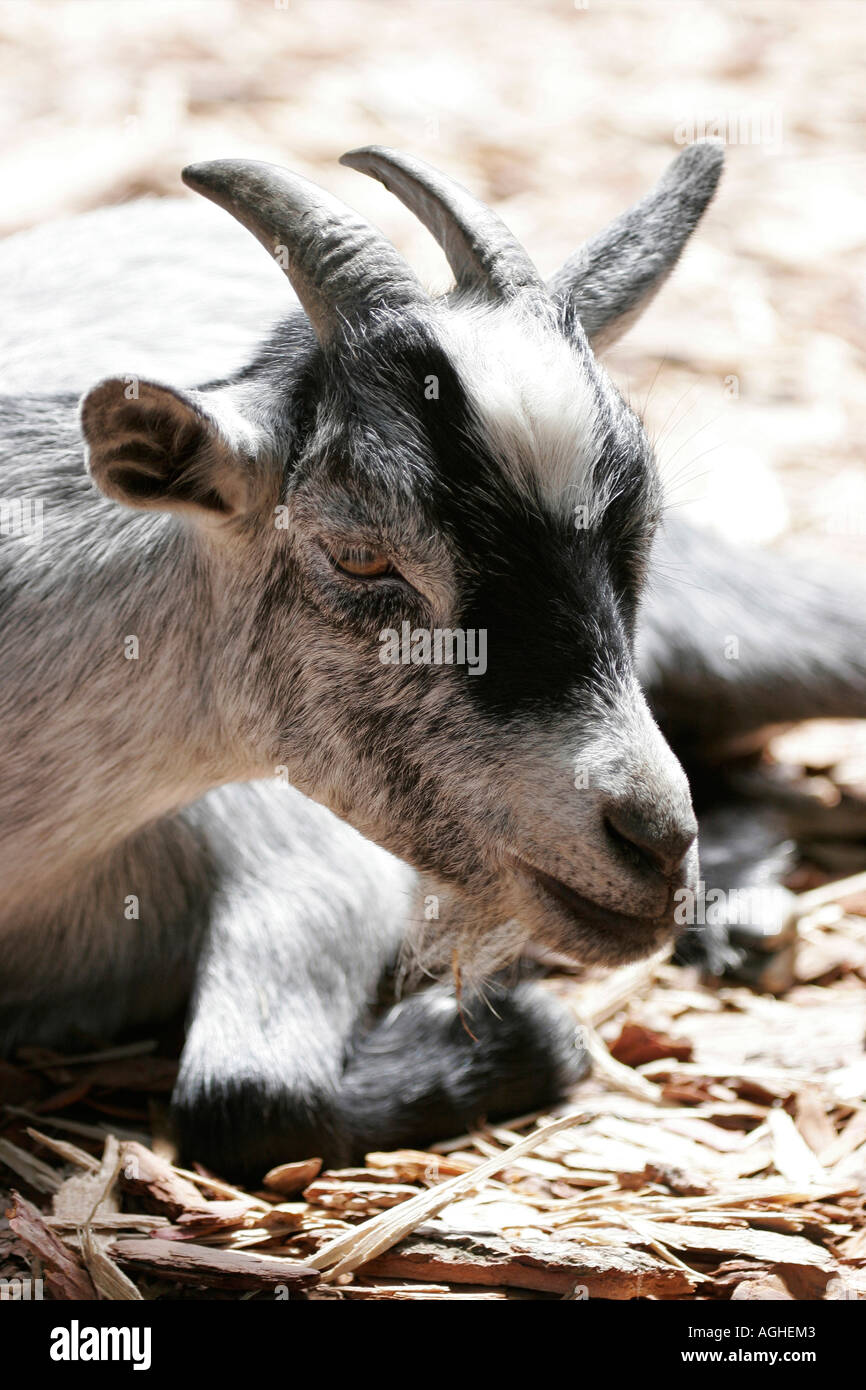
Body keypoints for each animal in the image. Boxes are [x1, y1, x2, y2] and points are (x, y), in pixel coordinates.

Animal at [1, 144, 864, 1178]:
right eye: (360, 556)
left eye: (639, 525)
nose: (654, 844)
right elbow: (246, 1101)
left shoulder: (310, 851)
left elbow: (246, 1094)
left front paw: (525, 1036)